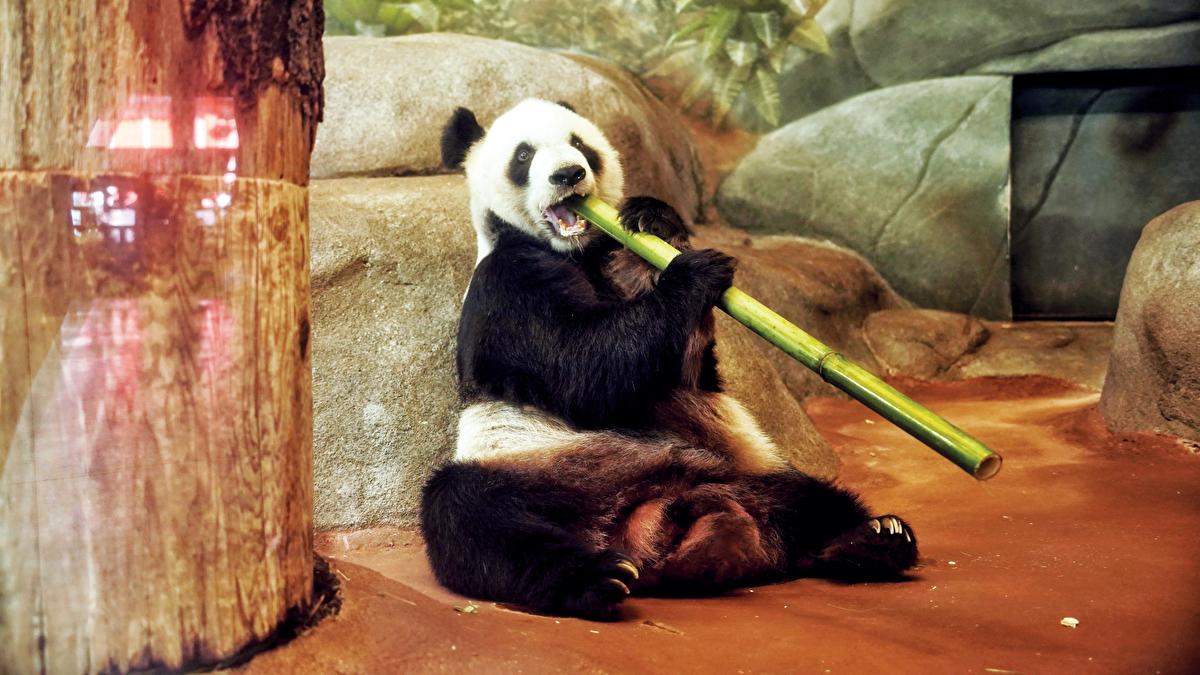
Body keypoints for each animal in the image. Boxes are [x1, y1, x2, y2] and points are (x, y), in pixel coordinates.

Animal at [420, 98, 918, 620]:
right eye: (523, 155)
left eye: (580, 145)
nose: (568, 174)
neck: (575, 252)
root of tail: (641, 524)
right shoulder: (506, 285)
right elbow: (584, 367)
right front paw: (694, 272)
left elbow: (685, 368)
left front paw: (653, 219)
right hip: (537, 467)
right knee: (474, 517)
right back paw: (599, 578)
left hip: (735, 471)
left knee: (810, 500)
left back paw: (870, 538)